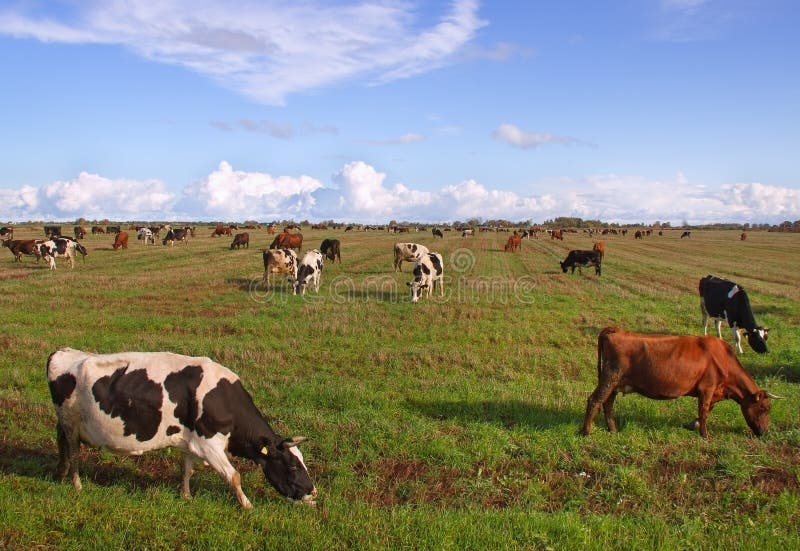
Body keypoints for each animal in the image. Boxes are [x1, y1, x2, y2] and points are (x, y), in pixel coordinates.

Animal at [46, 348, 316, 509]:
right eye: (292, 466)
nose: (313, 492)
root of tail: (63, 352)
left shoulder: (191, 442)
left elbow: (187, 470)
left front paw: (186, 496)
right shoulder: (210, 444)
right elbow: (234, 476)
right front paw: (247, 505)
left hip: (65, 423)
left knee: (63, 446)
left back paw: (60, 474)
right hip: (70, 422)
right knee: (73, 451)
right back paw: (76, 484)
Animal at [582, 327, 773, 438]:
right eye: (764, 408)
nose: (765, 432)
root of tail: (615, 329)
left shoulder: (711, 392)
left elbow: (707, 410)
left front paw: (694, 425)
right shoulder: (707, 388)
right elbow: (704, 411)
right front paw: (705, 435)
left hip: (613, 383)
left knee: (607, 403)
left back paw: (612, 429)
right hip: (610, 377)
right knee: (595, 400)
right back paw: (586, 432)